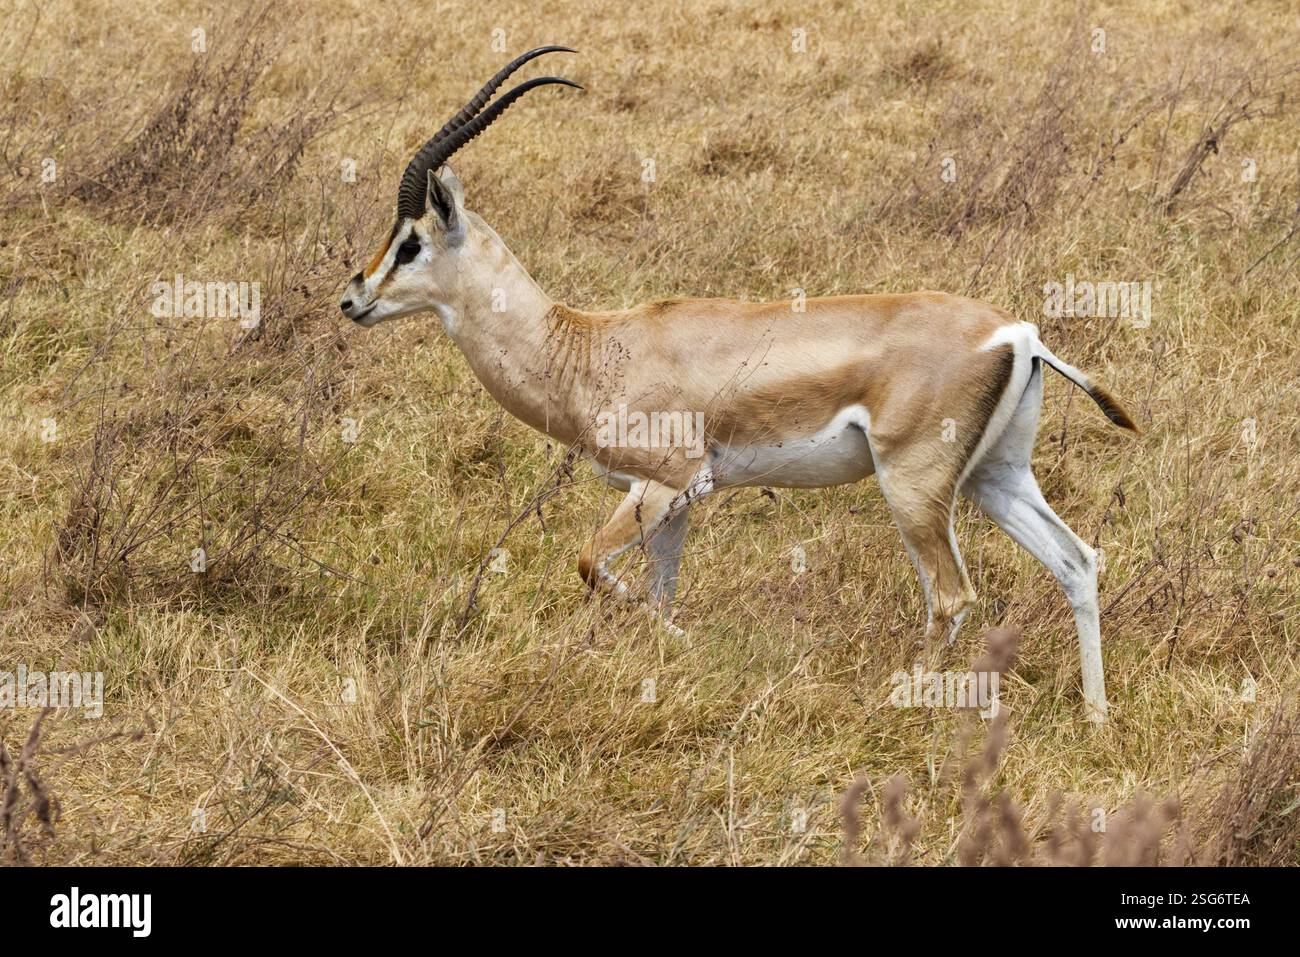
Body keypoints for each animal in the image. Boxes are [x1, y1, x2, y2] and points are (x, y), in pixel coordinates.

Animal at [340, 47, 1139, 722]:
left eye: (410, 241)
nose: (352, 298)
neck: (589, 347)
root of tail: (1019, 333)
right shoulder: (675, 501)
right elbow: (657, 591)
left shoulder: (666, 483)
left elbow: (592, 566)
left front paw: (694, 648)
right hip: (993, 477)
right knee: (1076, 560)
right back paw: (1097, 715)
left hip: (913, 487)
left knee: (951, 595)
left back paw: (898, 705)